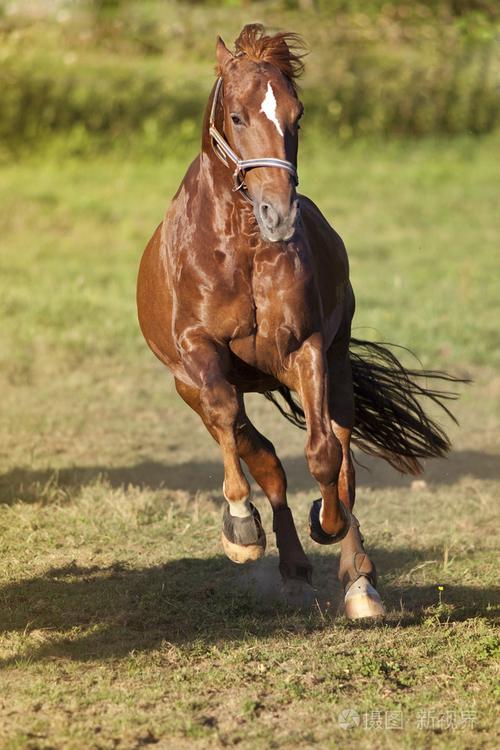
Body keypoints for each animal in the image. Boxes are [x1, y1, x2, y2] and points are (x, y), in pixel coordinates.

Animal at [137, 24, 459, 620]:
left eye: (298, 114)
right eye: (237, 116)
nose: (279, 213)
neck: (240, 247)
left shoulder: (305, 348)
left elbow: (325, 455)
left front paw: (329, 529)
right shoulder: (197, 353)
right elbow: (237, 429)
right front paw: (241, 529)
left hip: (334, 368)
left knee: (341, 455)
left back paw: (357, 578)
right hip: (190, 386)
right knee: (258, 453)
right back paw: (288, 567)